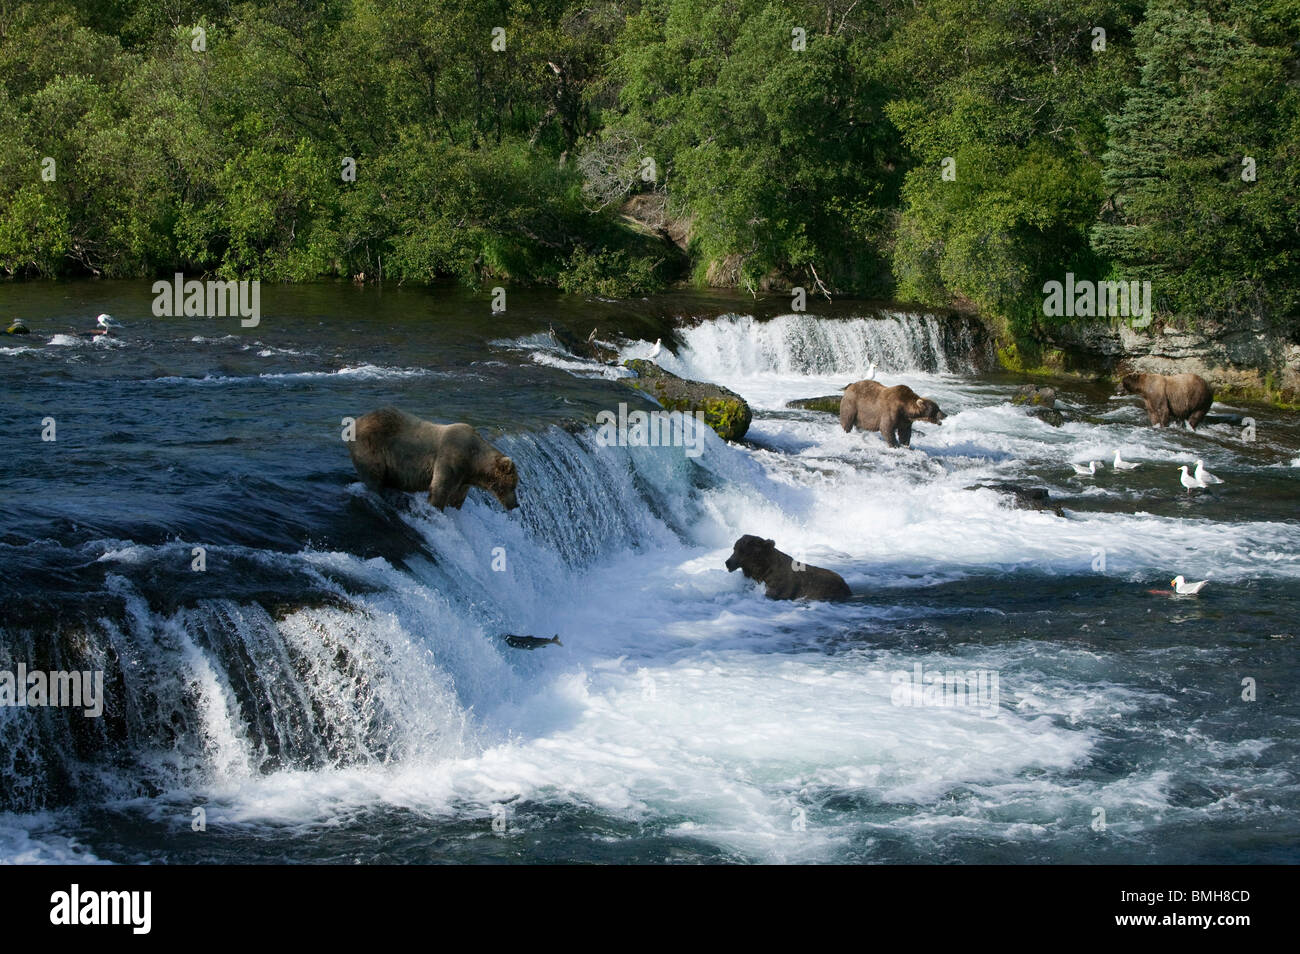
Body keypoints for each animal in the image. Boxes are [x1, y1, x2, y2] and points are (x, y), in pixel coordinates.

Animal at [348, 407, 519, 511]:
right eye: (512, 486)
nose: (516, 504)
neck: (474, 463)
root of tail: (356, 421)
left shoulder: (464, 479)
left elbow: (457, 498)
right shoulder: (451, 458)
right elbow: (439, 490)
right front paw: (435, 507)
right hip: (372, 447)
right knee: (373, 475)